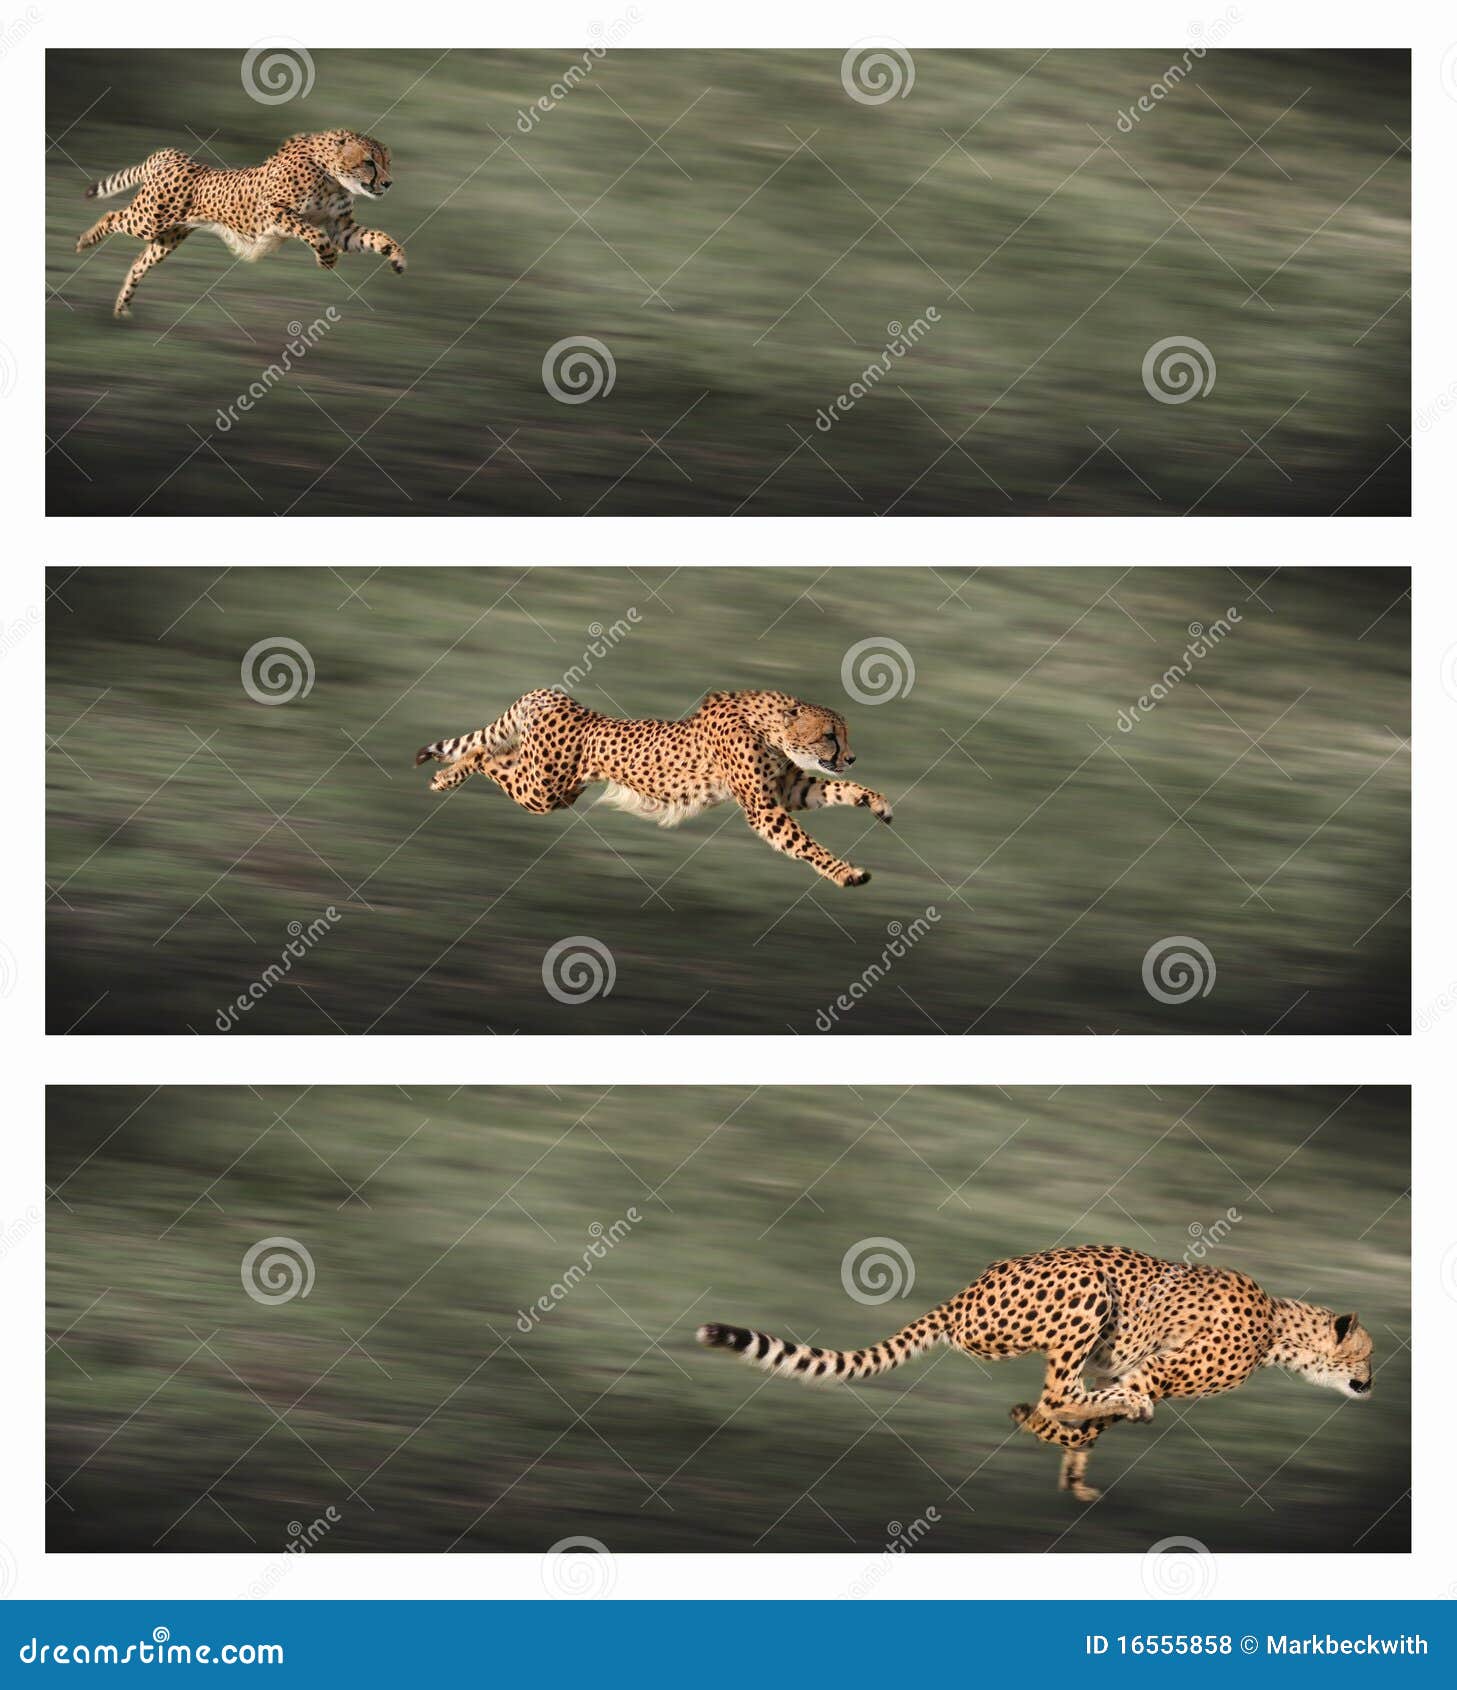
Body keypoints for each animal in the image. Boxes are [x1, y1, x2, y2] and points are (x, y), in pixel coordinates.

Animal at [75, 129, 405, 318]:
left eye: (387, 162)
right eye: (369, 162)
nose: (388, 183)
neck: (333, 176)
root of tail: (174, 154)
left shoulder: (341, 228)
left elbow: (376, 236)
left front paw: (397, 257)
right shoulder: (273, 211)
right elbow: (312, 232)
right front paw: (326, 259)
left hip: (168, 237)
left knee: (139, 263)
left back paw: (122, 305)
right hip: (148, 219)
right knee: (112, 216)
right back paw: (85, 241)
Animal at [414, 687, 893, 888]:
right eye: (831, 735)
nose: (851, 756)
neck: (770, 725)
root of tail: (556, 696)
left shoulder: (786, 790)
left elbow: (837, 790)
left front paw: (876, 802)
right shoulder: (763, 808)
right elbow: (808, 845)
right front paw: (845, 873)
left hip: (552, 785)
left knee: (494, 754)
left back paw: (446, 773)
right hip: (542, 790)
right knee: (484, 754)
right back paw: (446, 775)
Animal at [697, 1244, 1374, 1503]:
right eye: (1366, 1354)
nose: (1371, 1382)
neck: (1282, 1327)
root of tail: (966, 1293)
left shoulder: (1136, 1369)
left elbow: (1098, 1418)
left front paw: (1075, 1469)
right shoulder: (1154, 1368)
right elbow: (1105, 1404)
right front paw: (1069, 1438)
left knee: (1062, 1396)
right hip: (1088, 1291)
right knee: (1056, 1392)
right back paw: (1042, 1413)